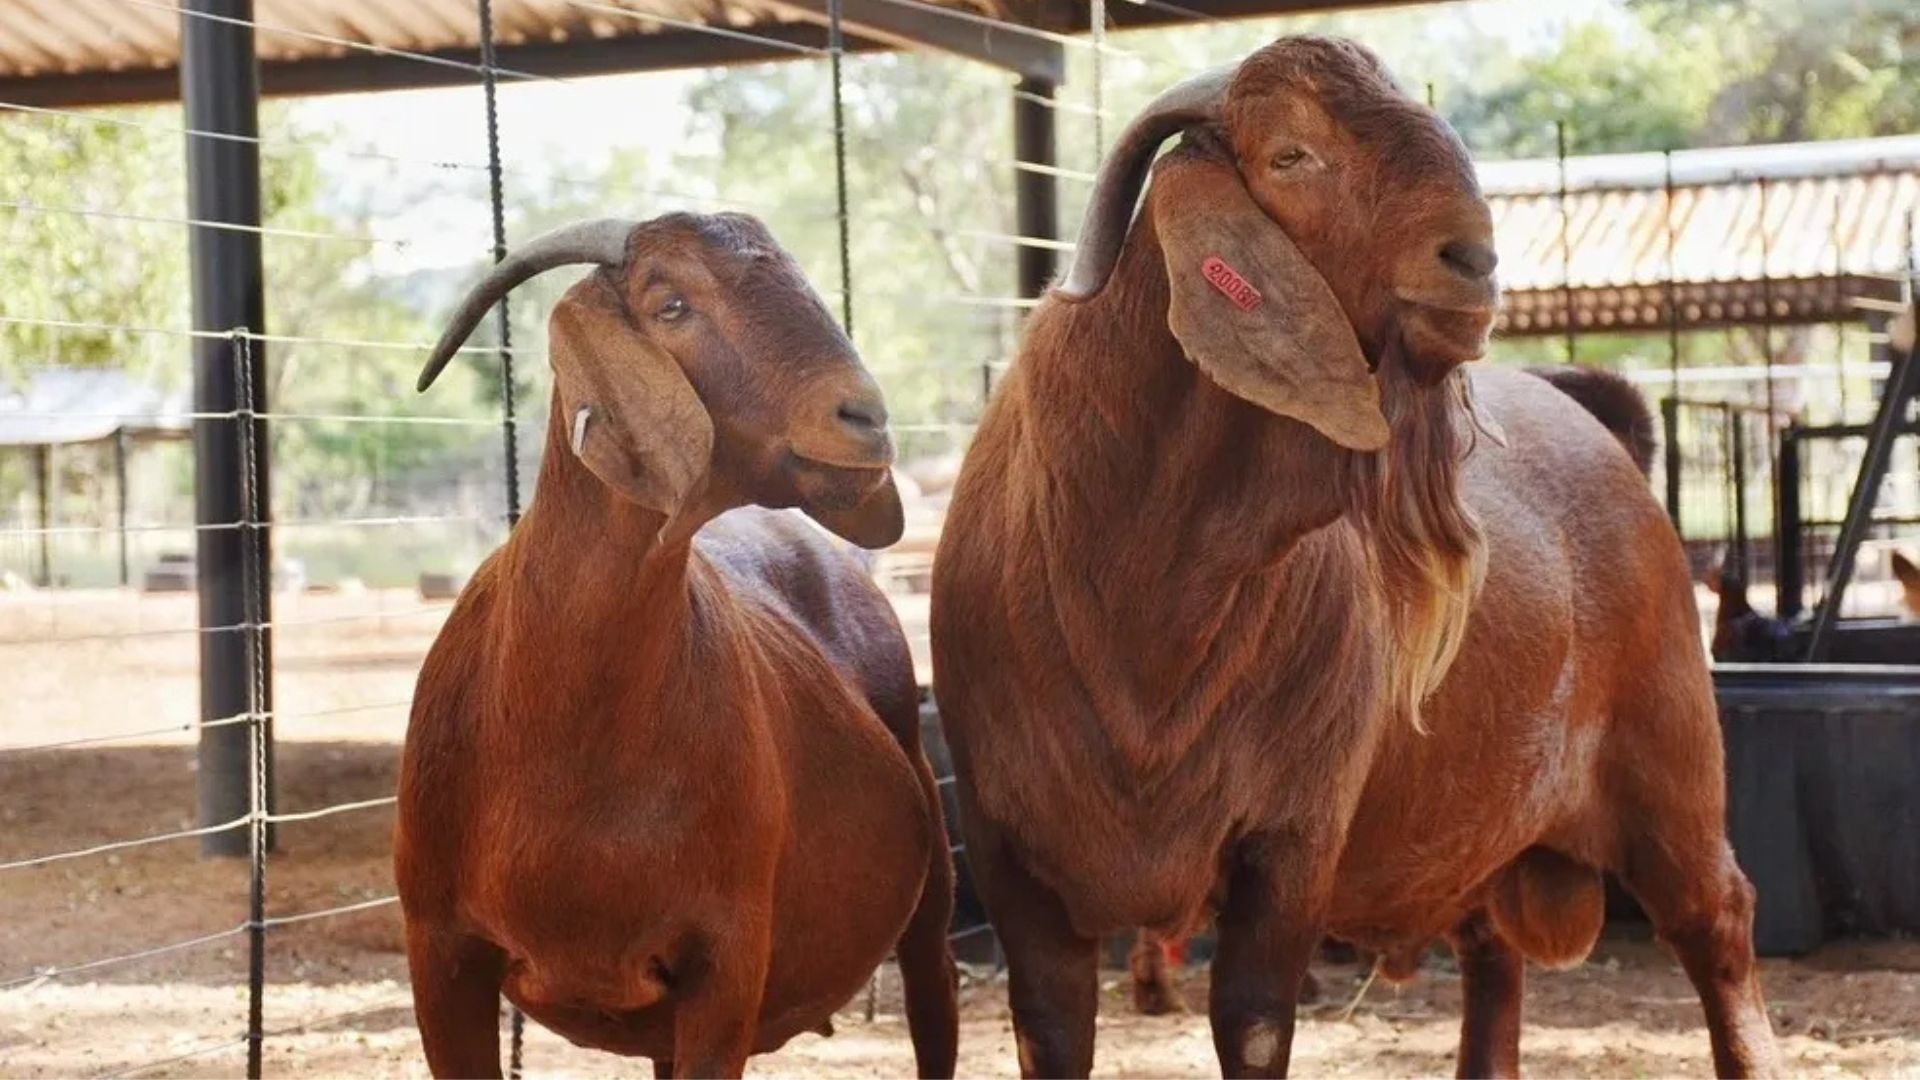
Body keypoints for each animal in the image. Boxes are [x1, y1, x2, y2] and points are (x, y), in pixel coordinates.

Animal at [929, 37, 1778, 1078]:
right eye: (1291, 154)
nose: (1474, 260)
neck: (1144, 594)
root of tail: (1602, 423)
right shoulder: (1009, 855)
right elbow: (1050, 1028)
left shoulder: (1292, 834)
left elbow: (1253, 1021)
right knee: (1493, 952)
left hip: (1672, 758)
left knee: (1717, 923)